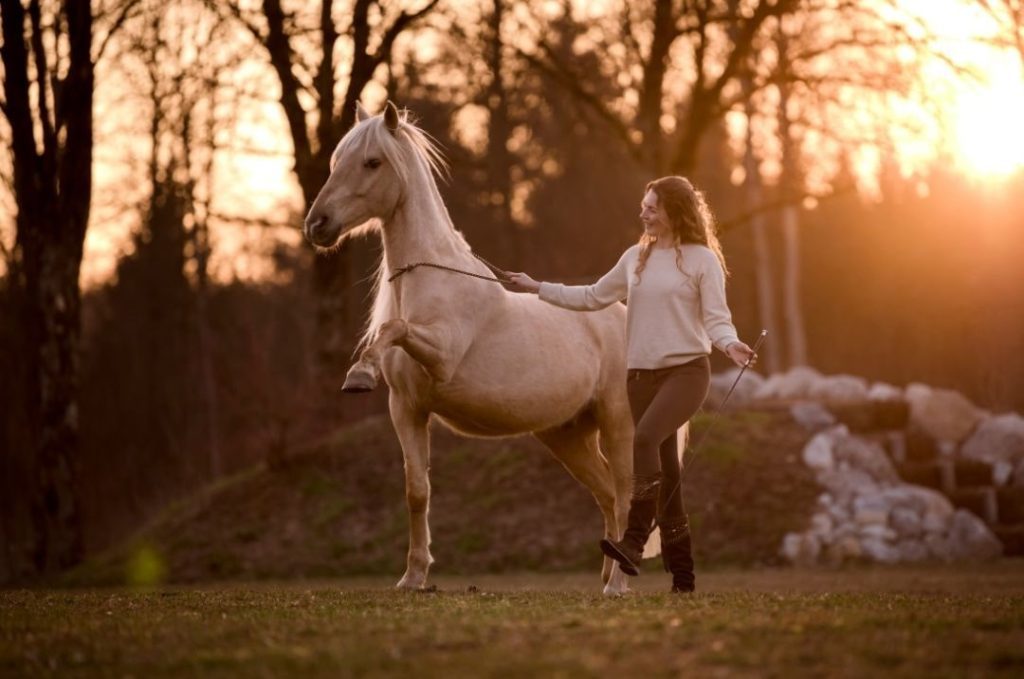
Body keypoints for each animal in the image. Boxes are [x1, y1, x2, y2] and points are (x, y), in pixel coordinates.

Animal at [304, 101, 648, 595]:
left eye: (372, 162)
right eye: (335, 162)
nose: (317, 225)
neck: (433, 282)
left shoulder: (441, 357)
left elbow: (393, 326)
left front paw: (359, 373)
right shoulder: (406, 409)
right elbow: (417, 490)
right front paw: (413, 577)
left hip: (618, 422)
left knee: (621, 494)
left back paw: (617, 585)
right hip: (566, 435)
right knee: (605, 492)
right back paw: (607, 574)